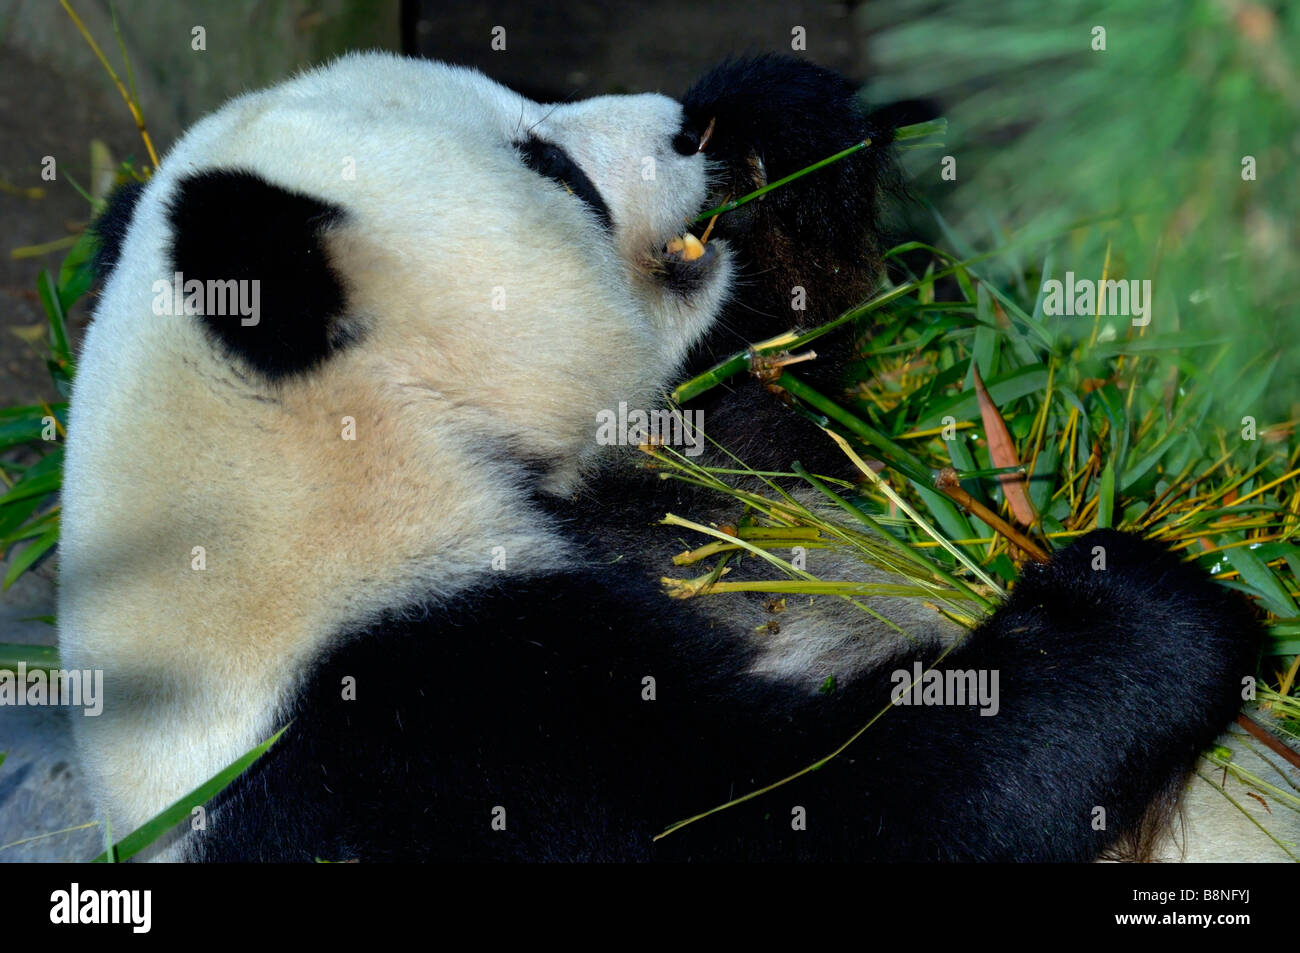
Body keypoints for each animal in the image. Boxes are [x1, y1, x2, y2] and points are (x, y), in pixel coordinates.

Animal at [59, 51, 1261, 862]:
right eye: (549, 163)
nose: (684, 130)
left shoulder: (652, 488)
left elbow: (768, 414)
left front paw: (781, 129)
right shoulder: (413, 725)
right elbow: (788, 810)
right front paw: (1135, 606)